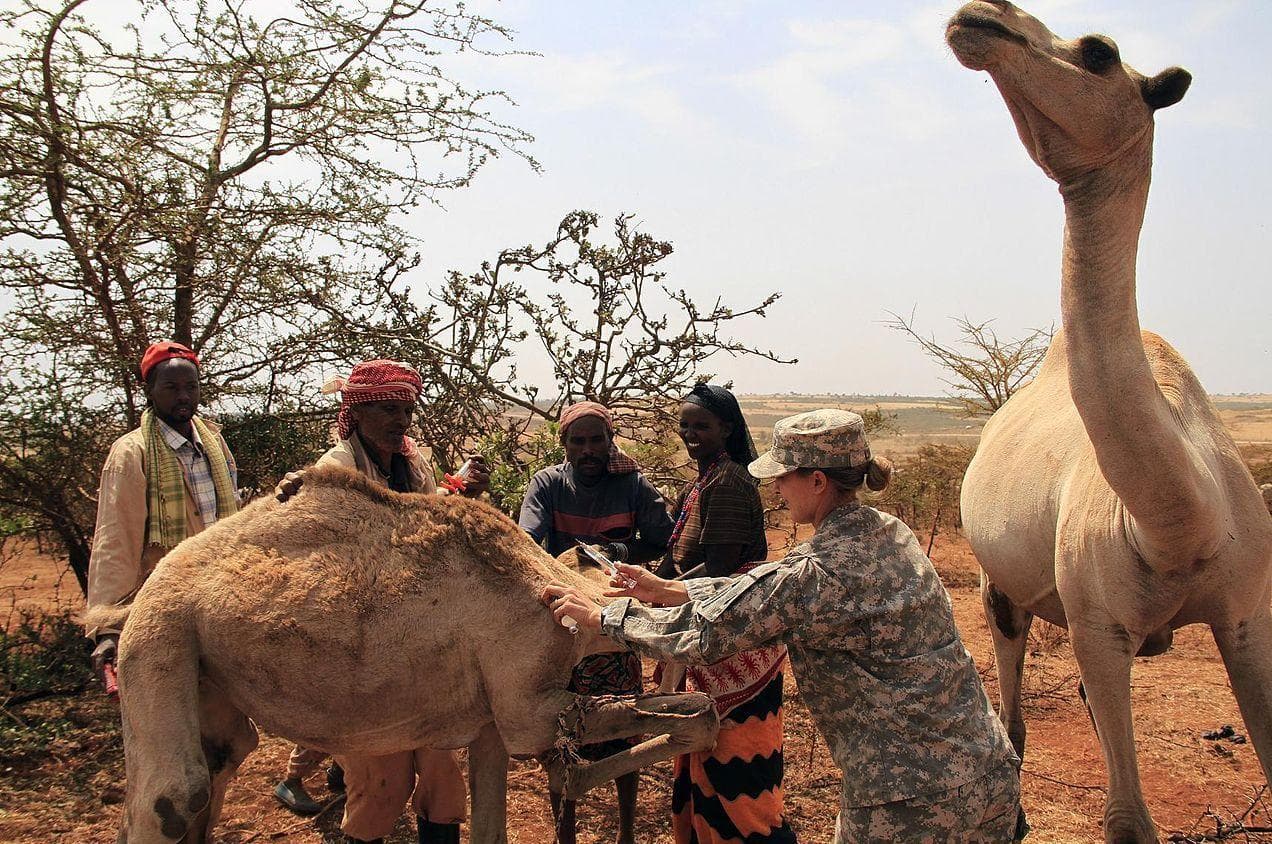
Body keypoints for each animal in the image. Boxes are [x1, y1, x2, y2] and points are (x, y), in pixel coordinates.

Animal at [90, 465, 718, 844]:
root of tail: (139, 595)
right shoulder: (526, 707)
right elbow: (700, 716)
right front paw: (570, 772)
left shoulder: (491, 723)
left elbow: (490, 826)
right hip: (158, 638)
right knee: (175, 794)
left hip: (203, 677)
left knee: (219, 761)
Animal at [946, 3, 1272, 842]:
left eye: (1098, 52)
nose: (978, 18)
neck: (1179, 525)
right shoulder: (1099, 626)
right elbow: (1127, 820)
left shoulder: (1248, 615)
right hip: (1000, 587)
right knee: (1014, 712)